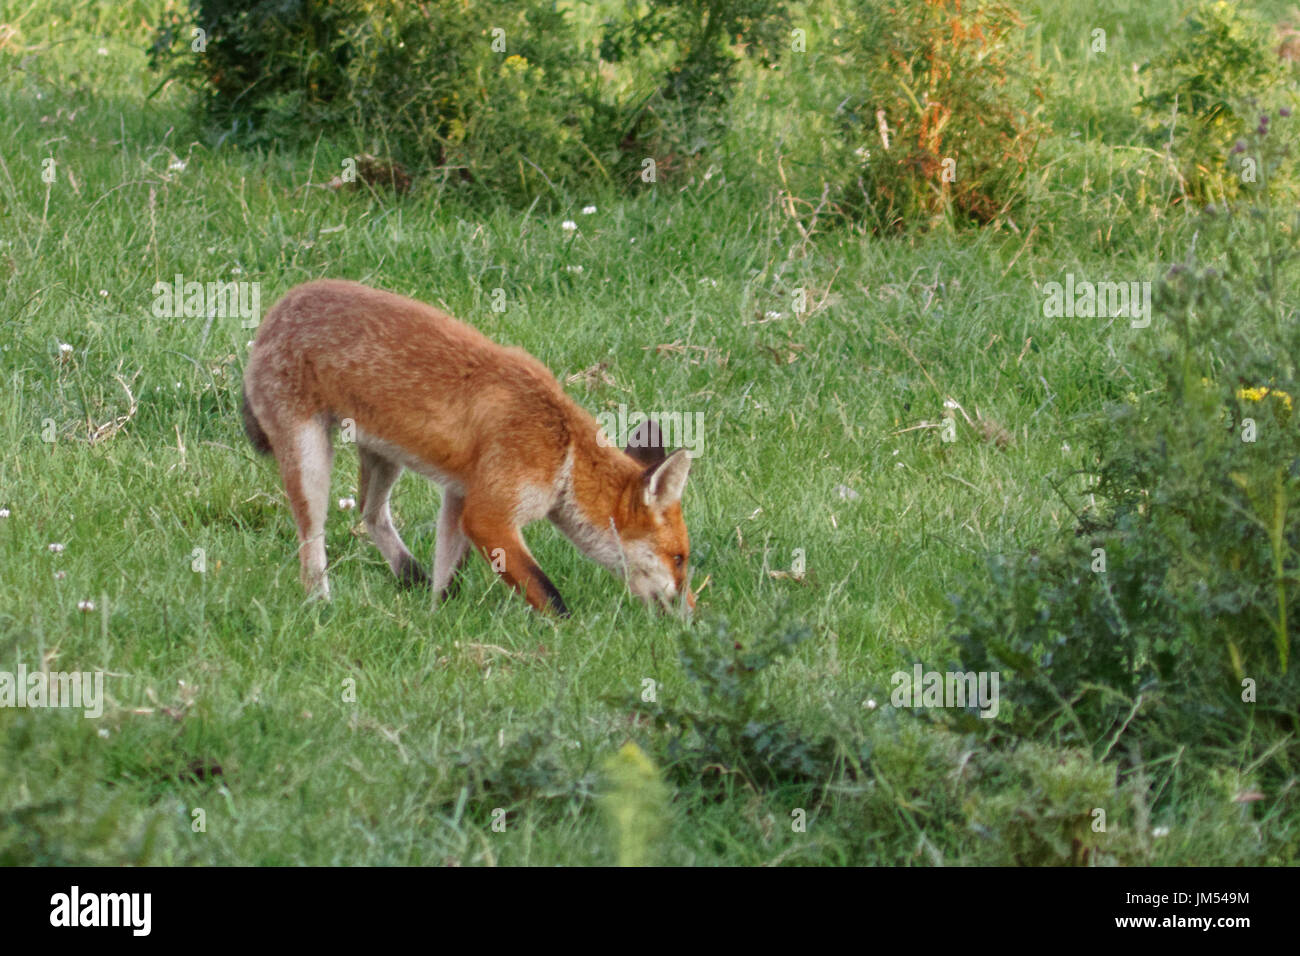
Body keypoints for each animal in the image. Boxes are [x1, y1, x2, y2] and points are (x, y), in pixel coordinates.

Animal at [241, 279, 695, 616]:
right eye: (680, 559)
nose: (692, 613)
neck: (561, 448)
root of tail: (278, 308)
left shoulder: (460, 495)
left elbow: (448, 575)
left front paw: (437, 618)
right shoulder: (488, 514)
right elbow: (548, 594)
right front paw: (568, 638)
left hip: (384, 455)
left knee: (370, 514)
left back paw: (407, 573)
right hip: (310, 460)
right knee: (312, 543)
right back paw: (320, 603)